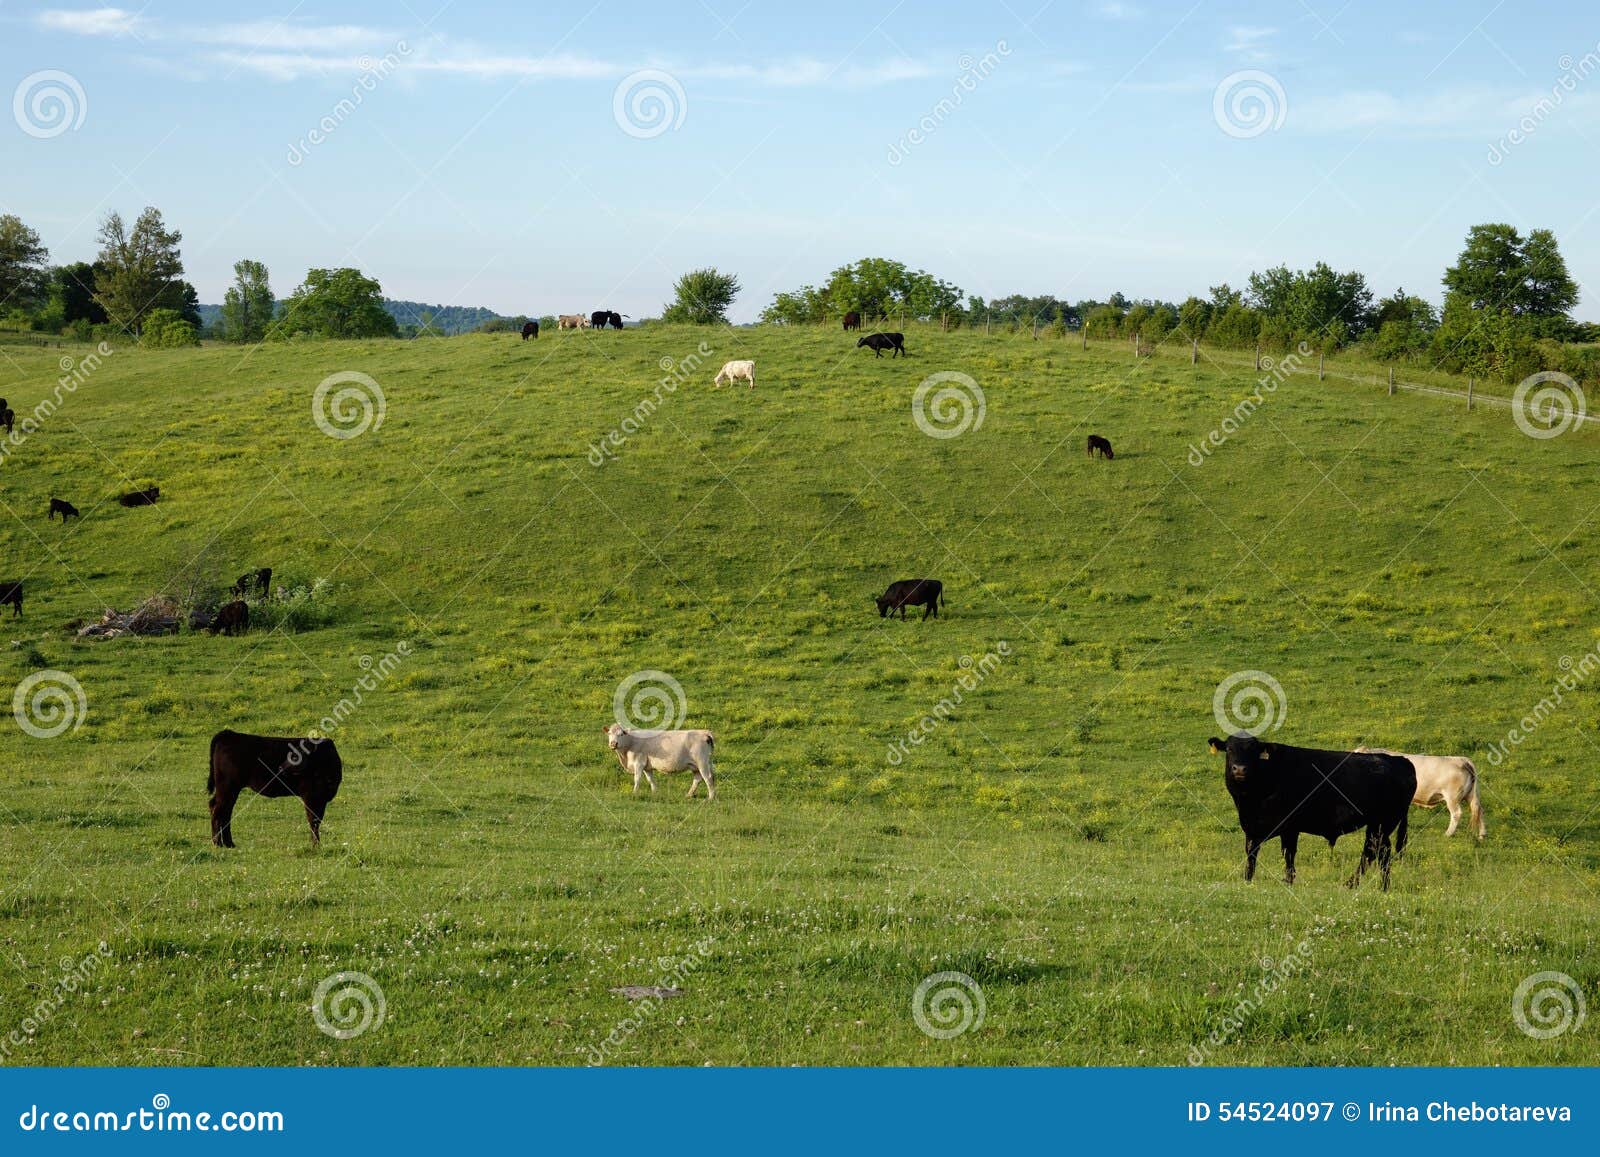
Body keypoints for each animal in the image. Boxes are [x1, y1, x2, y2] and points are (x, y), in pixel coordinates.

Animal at [207, 729, 343, 847]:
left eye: (296, 755)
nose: (280, 768)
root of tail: (229, 734)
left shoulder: (321, 799)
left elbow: (317, 820)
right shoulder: (311, 796)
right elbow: (313, 820)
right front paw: (316, 844)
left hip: (230, 789)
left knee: (224, 811)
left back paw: (228, 843)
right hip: (227, 786)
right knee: (218, 809)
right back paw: (217, 843)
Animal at [1208, 734, 1415, 890]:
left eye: (1253, 751)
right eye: (1229, 749)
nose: (1240, 769)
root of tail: (1398, 760)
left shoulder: (1289, 827)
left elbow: (1288, 854)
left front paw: (1288, 881)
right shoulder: (1252, 828)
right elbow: (1252, 852)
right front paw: (1247, 879)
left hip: (1382, 823)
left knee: (1378, 852)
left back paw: (1367, 885)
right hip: (1377, 825)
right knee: (1374, 852)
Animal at [1356, 746, 1485, 844]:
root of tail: (1461, 759)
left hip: (1452, 797)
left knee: (1457, 813)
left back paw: (1447, 834)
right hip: (1472, 795)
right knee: (1479, 810)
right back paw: (1482, 835)